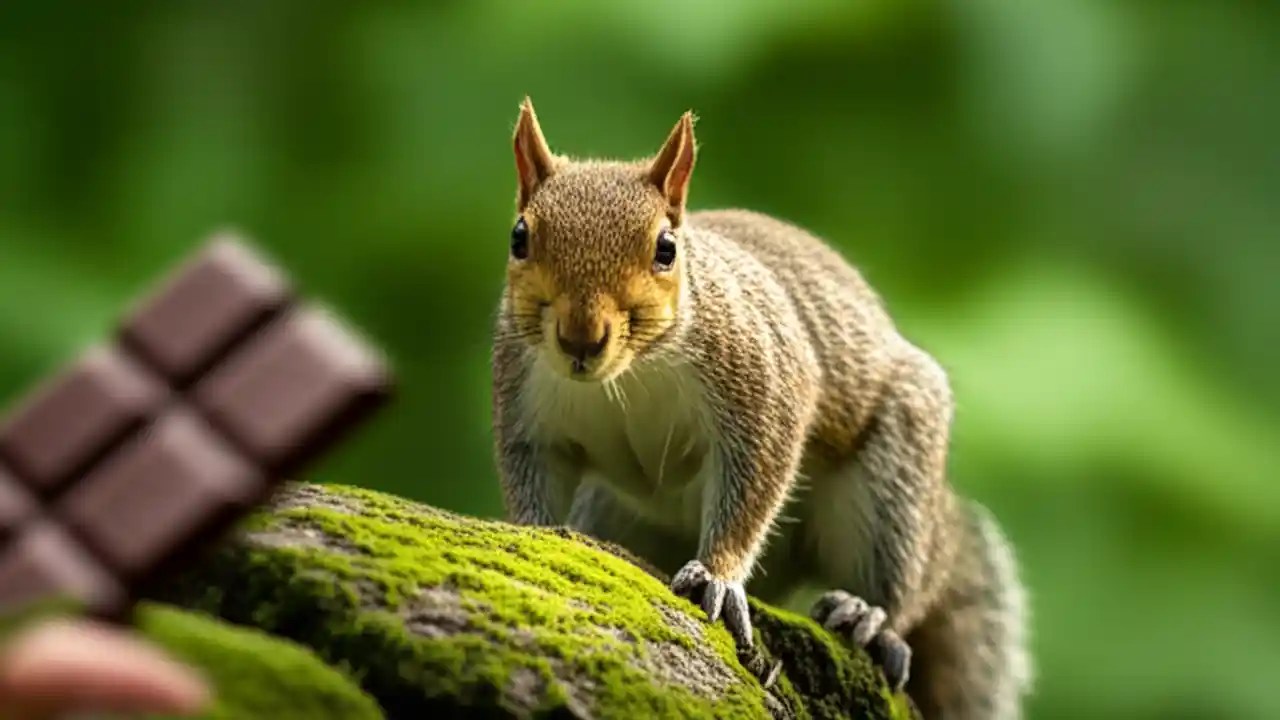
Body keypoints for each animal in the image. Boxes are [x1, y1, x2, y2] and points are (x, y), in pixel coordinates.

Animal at [491, 97, 1032, 720]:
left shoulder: (763, 387)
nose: (581, 339)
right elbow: (530, 474)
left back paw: (870, 616)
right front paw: (533, 536)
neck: (631, 374)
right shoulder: (525, 401)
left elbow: (753, 486)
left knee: (902, 582)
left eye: (666, 248)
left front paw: (718, 576)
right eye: (519, 237)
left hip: (893, 481)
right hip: (615, 511)